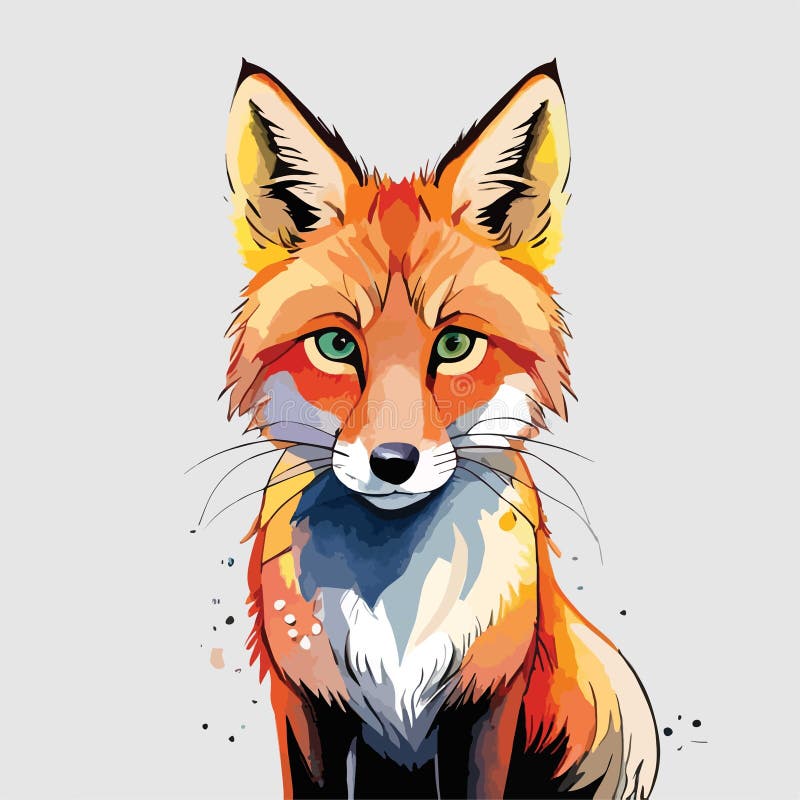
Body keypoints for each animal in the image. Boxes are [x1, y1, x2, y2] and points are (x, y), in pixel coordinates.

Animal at [220, 58, 659, 799]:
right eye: (336, 346)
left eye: (454, 345)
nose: (393, 463)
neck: (394, 602)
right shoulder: (310, 708)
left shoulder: (484, 706)